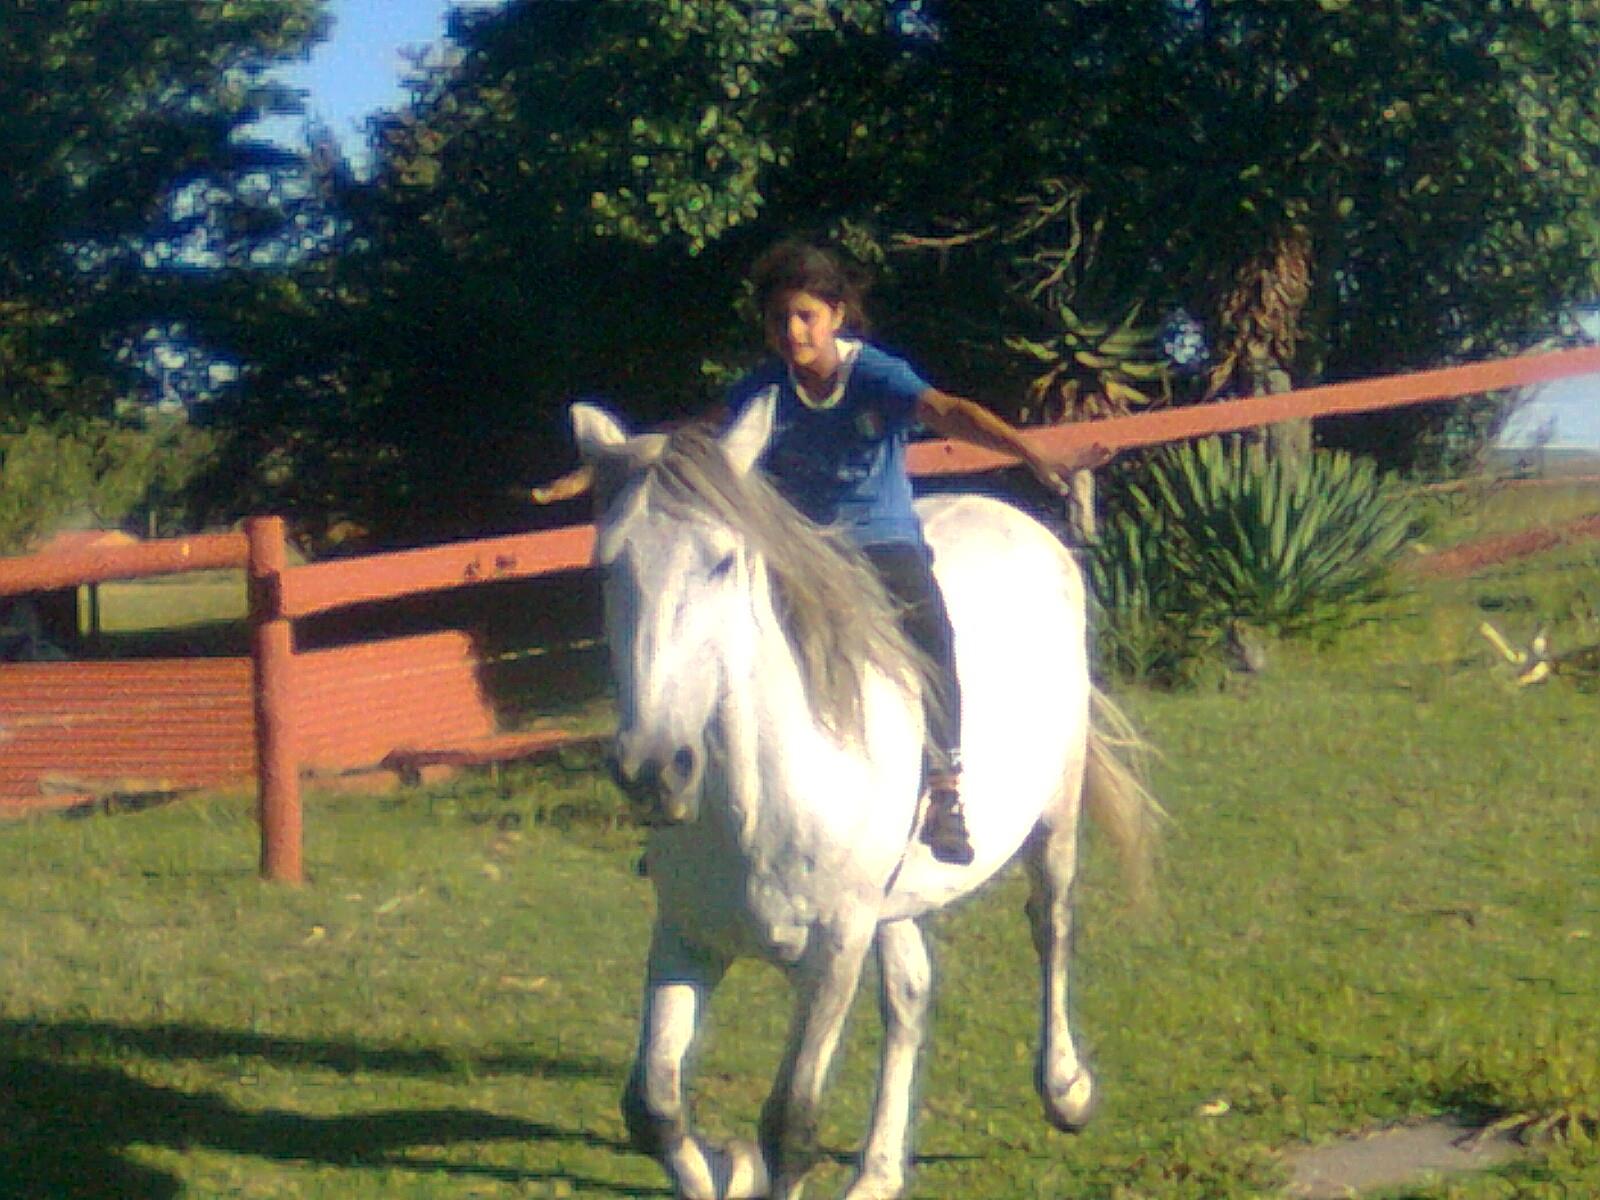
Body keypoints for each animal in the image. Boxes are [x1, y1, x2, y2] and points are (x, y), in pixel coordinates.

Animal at [571, 393, 1160, 1200]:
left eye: (724, 559)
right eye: (607, 567)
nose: (654, 767)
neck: (762, 804)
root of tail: (1022, 523)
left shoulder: (834, 951)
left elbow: (790, 1125)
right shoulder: (687, 937)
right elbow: (653, 1106)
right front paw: (727, 1171)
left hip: (1055, 814)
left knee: (1052, 924)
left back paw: (1065, 1089)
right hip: (896, 894)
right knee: (911, 994)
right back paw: (879, 1171)